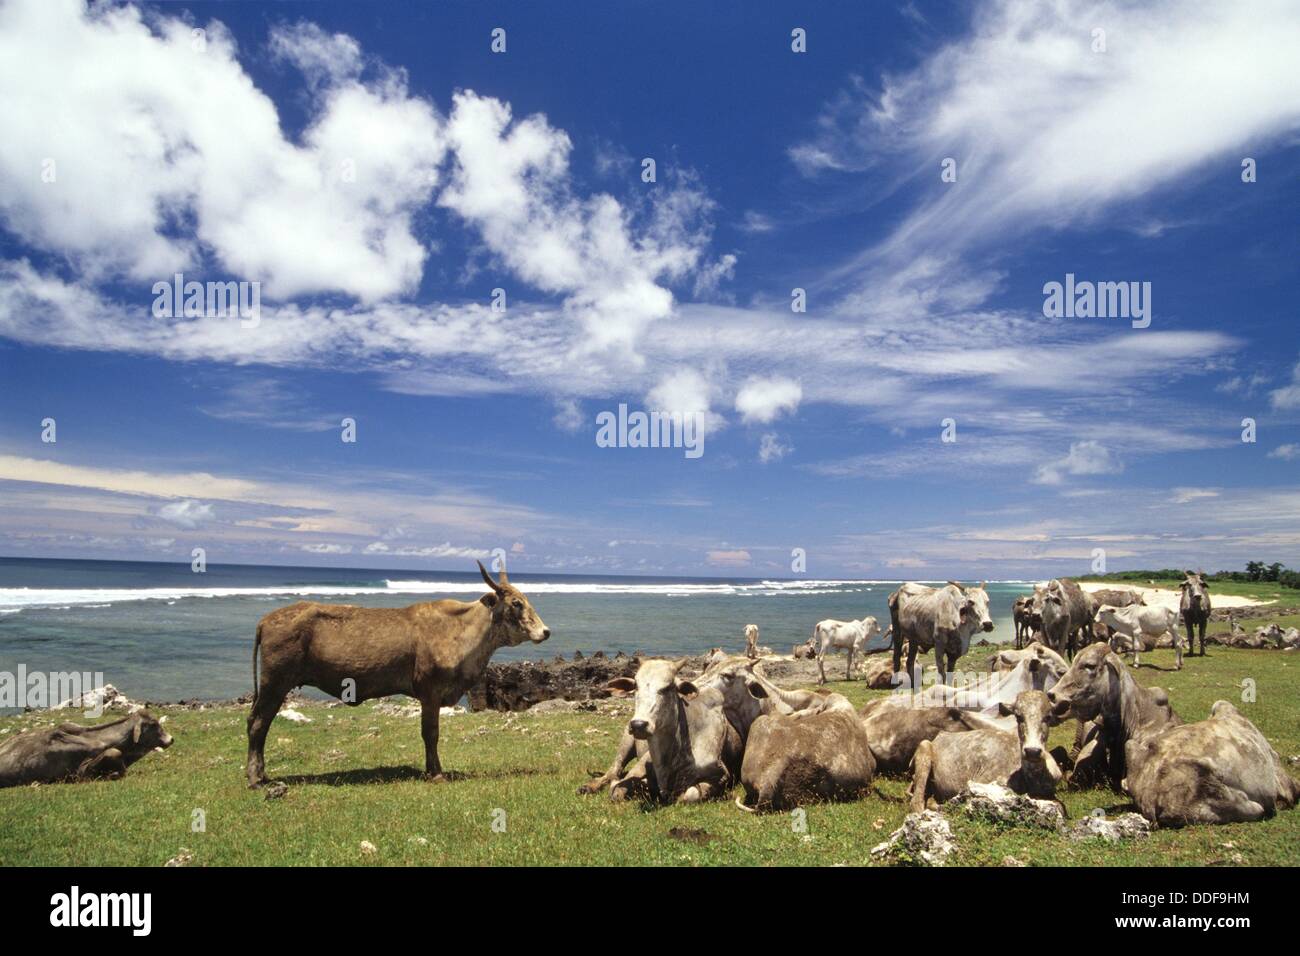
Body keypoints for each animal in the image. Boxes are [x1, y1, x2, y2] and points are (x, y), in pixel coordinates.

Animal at [246, 561, 548, 787]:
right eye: (516, 603)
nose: (545, 631)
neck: (460, 631)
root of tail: (266, 619)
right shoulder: (430, 690)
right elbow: (430, 733)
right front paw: (436, 773)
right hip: (275, 682)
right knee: (258, 723)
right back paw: (255, 777)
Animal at [909, 690, 1063, 812]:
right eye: (1019, 717)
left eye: (1048, 717)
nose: (1032, 751)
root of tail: (941, 735)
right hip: (924, 749)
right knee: (916, 802)